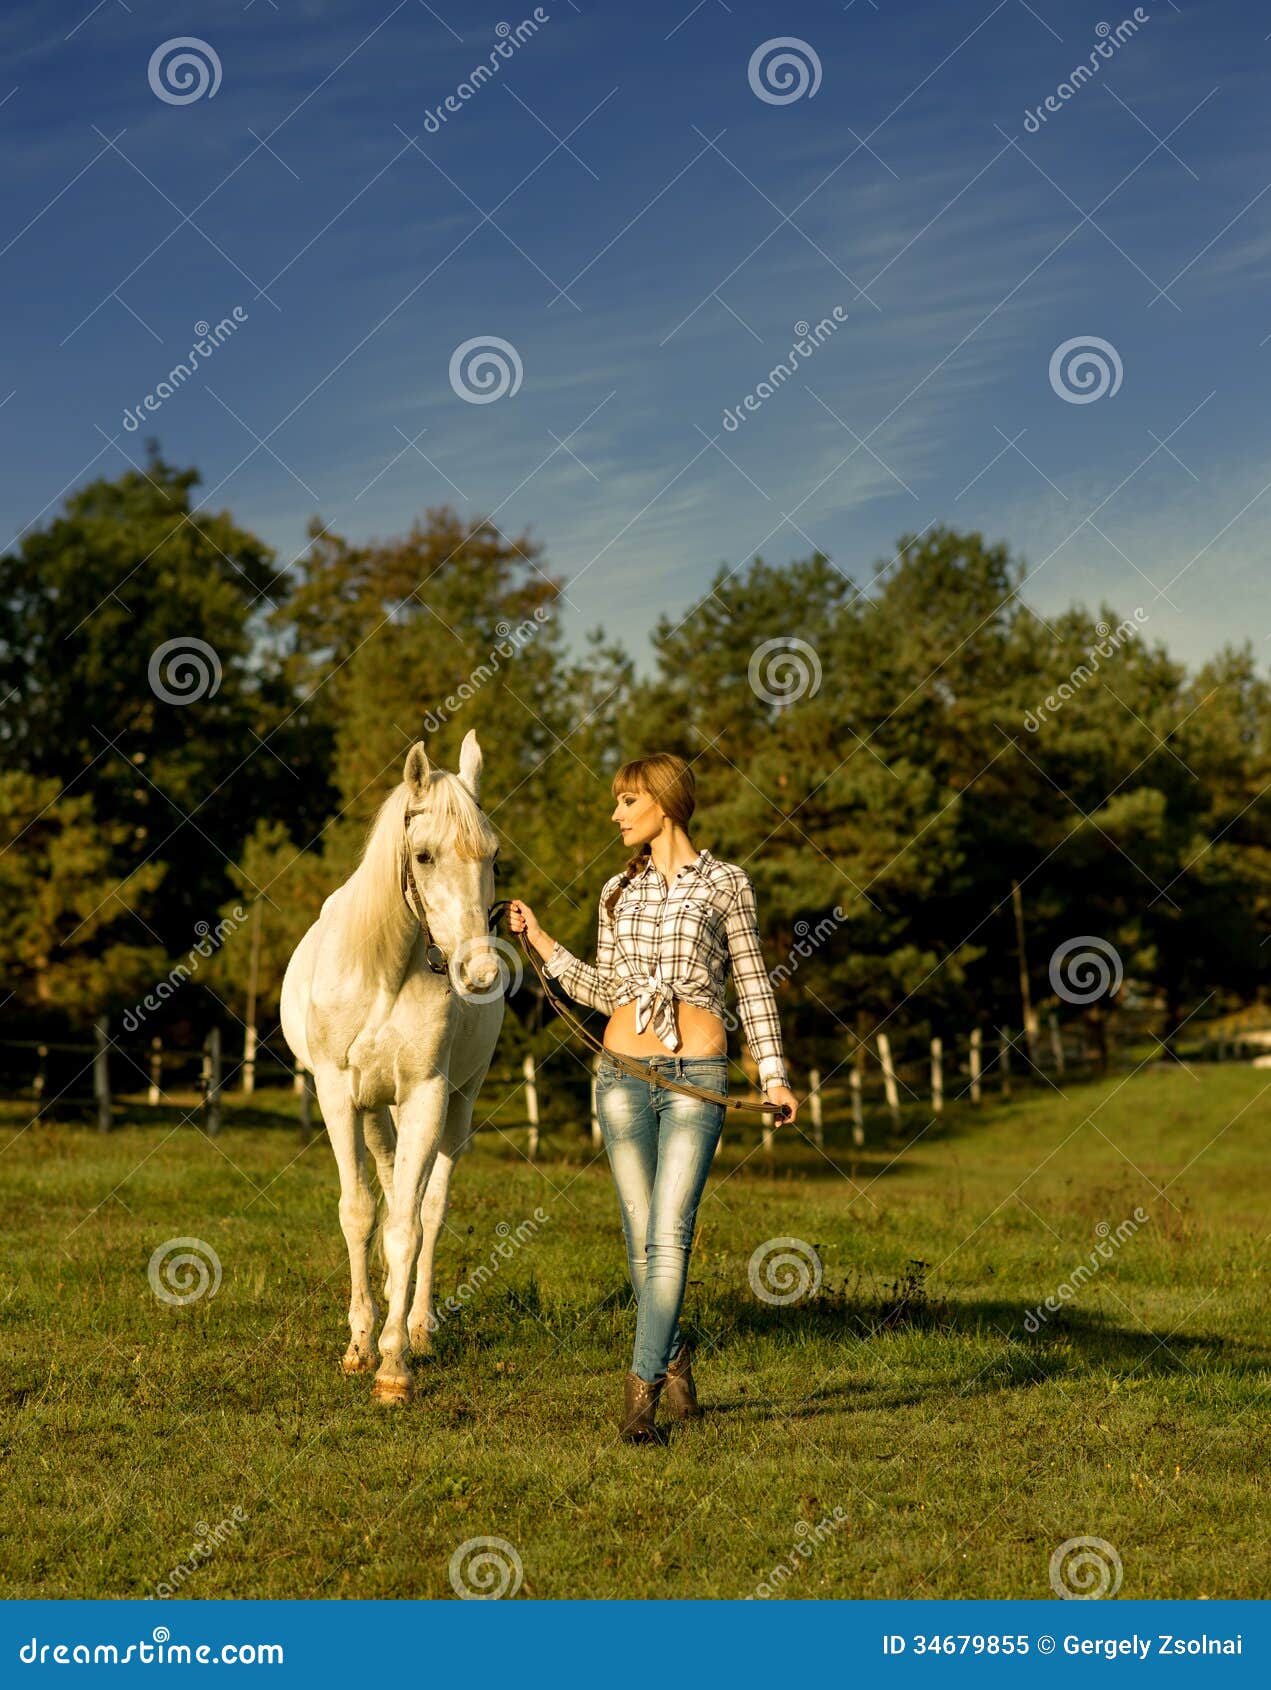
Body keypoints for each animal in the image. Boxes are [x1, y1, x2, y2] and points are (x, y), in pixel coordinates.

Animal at [280, 730, 505, 1404]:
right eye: (424, 856)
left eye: (494, 858)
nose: (480, 973)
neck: (384, 970)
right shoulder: (336, 1095)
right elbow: (360, 1213)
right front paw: (359, 1344)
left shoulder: (427, 1095)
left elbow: (408, 1223)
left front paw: (394, 1363)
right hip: (375, 1112)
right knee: (381, 1182)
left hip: (456, 1104)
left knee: (430, 1208)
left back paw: (418, 1324)